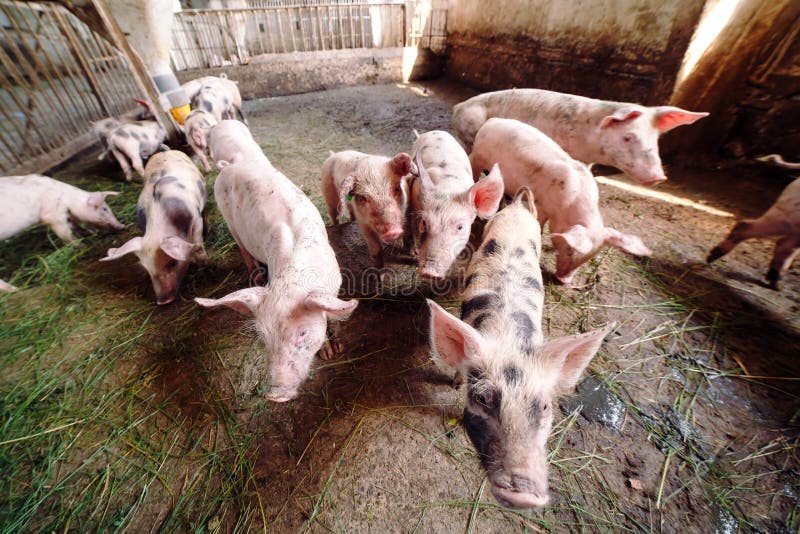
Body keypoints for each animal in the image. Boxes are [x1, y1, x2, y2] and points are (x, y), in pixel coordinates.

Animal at [100, 151, 208, 305]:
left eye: (172, 263)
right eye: (148, 269)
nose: (163, 301)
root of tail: (164, 151)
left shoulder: (196, 219)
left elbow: (198, 240)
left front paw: (203, 263)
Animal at [195, 139, 357, 402]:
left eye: (302, 333)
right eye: (263, 336)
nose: (274, 395)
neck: (291, 280)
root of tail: (228, 166)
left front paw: (336, 350)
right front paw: (327, 353)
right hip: (229, 219)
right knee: (243, 248)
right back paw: (256, 274)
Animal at [427, 188, 615, 509]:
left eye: (545, 406)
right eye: (483, 399)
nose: (524, 492)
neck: (507, 337)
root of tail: (515, 207)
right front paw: (454, 384)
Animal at [471, 118, 651, 285]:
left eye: (590, 257)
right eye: (570, 250)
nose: (564, 280)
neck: (569, 205)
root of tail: (492, 121)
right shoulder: (542, 204)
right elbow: (540, 224)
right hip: (477, 158)